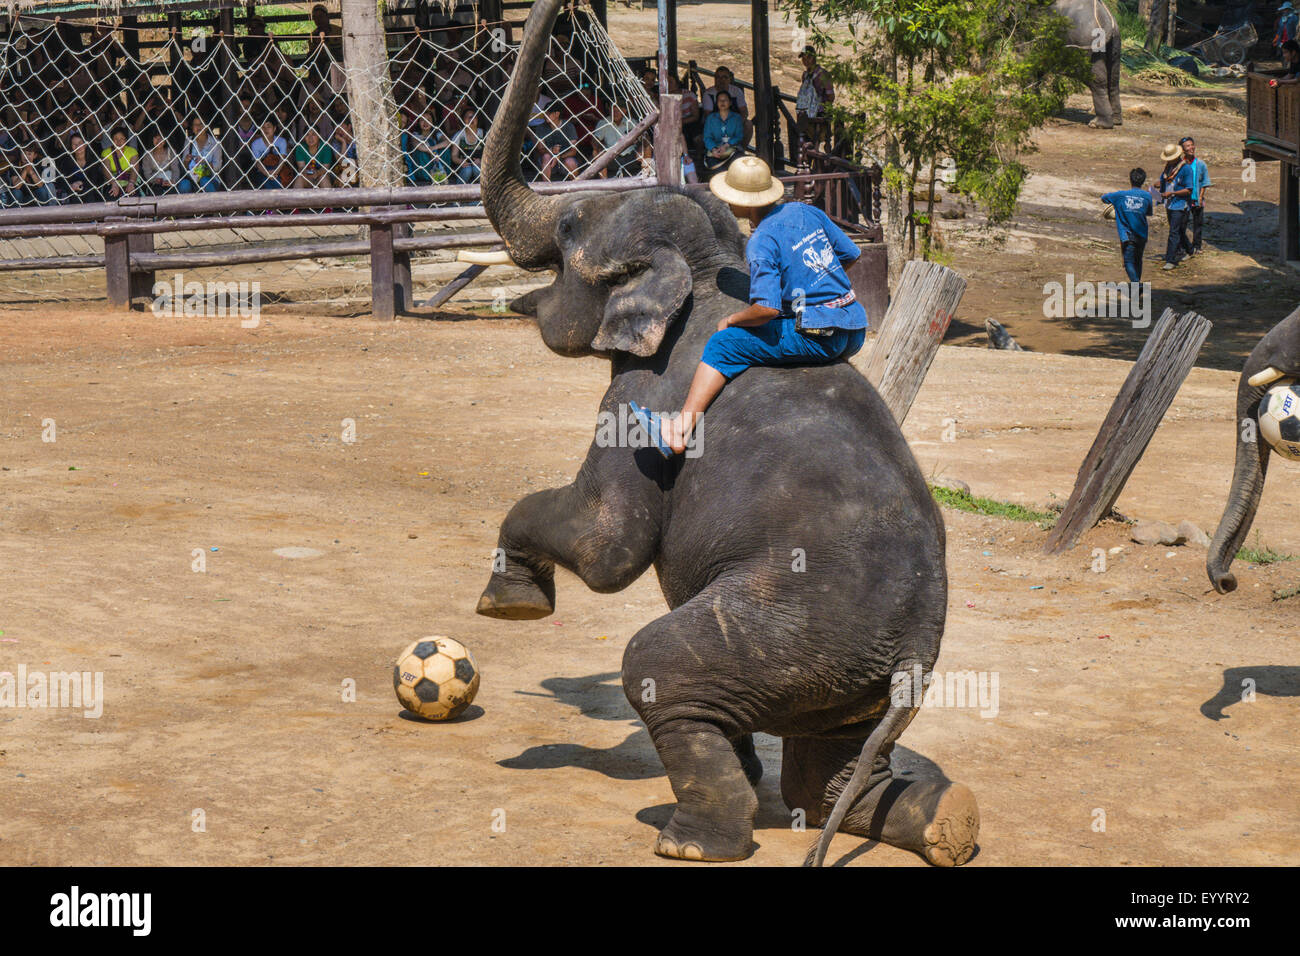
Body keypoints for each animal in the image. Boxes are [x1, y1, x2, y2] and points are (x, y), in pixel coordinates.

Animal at [472, 0, 979, 866]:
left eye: (569, 225)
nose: (555, 10)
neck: (714, 265)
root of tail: (915, 649)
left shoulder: (643, 392)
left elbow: (609, 545)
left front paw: (506, 607)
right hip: (847, 681)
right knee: (829, 778)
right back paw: (949, 822)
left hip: (785, 634)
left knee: (659, 667)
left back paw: (689, 840)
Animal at [1055, 0, 1123, 128]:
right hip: (1115, 43)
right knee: (1113, 80)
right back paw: (1116, 121)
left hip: (1088, 43)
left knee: (1096, 79)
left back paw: (1097, 124)